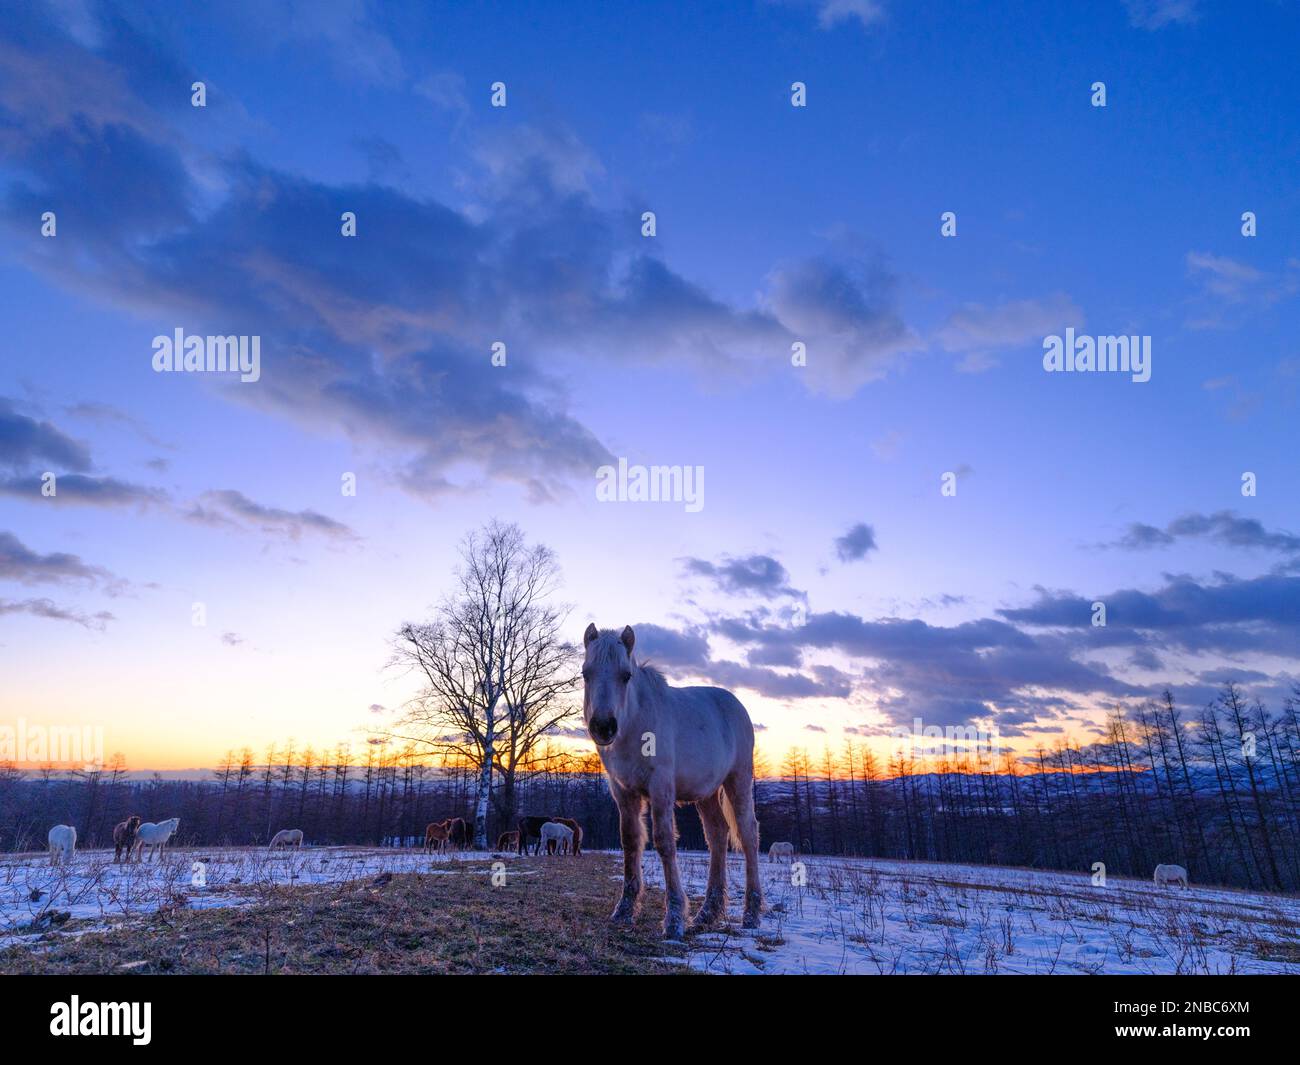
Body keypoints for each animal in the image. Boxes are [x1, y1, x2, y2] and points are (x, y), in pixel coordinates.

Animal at [583, 623, 762, 939]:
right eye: (585, 673)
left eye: (625, 675)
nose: (603, 727)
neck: (636, 724)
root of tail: (735, 704)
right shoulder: (623, 792)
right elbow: (630, 842)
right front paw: (624, 910)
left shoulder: (661, 788)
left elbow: (665, 843)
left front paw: (675, 920)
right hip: (706, 793)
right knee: (717, 835)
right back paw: (706, 915)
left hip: (738, 780)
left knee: (748, 834)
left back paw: (751, 915)